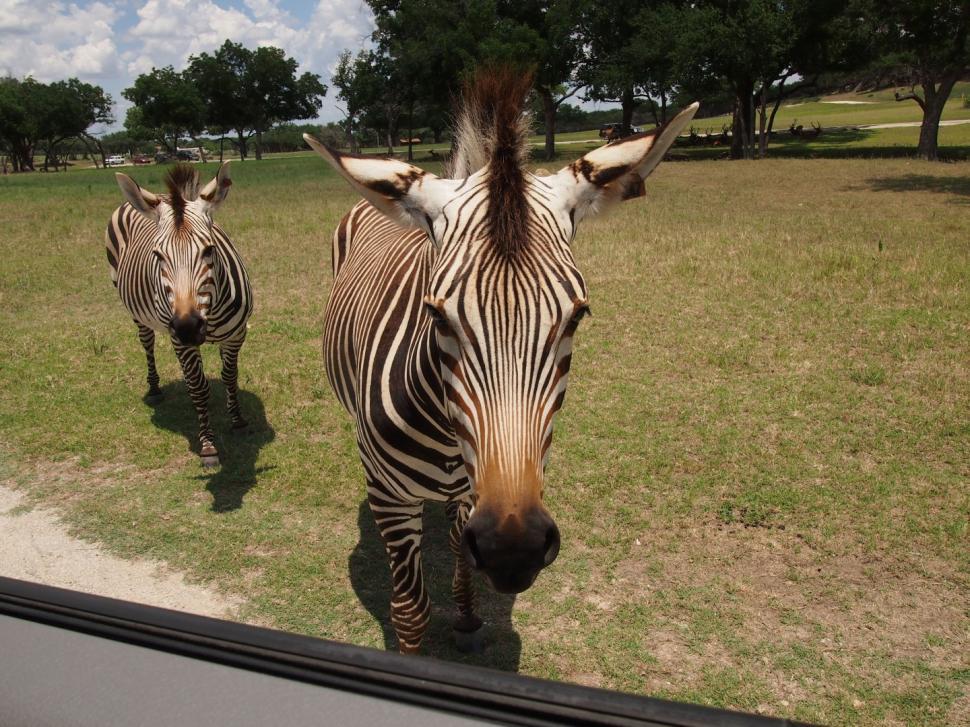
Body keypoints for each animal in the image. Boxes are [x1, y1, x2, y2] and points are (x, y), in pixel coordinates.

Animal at [105, 162, 253, 467]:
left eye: (209, 250)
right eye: (157, 255)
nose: (187, 327)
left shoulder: (236, 334)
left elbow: (230, 376)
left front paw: (237, 420)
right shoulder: (181, 340)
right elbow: (199, 387)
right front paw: (208, 445)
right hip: (140, 315)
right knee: (147, 343)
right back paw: (154, 388)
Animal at [305, 68, 697, 653]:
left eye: (577, 317)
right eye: (437, 317)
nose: (513, 550)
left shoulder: (478, 486)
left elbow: (459, 548)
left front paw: (468, 614)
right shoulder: (390, 497)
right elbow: (410, 612)